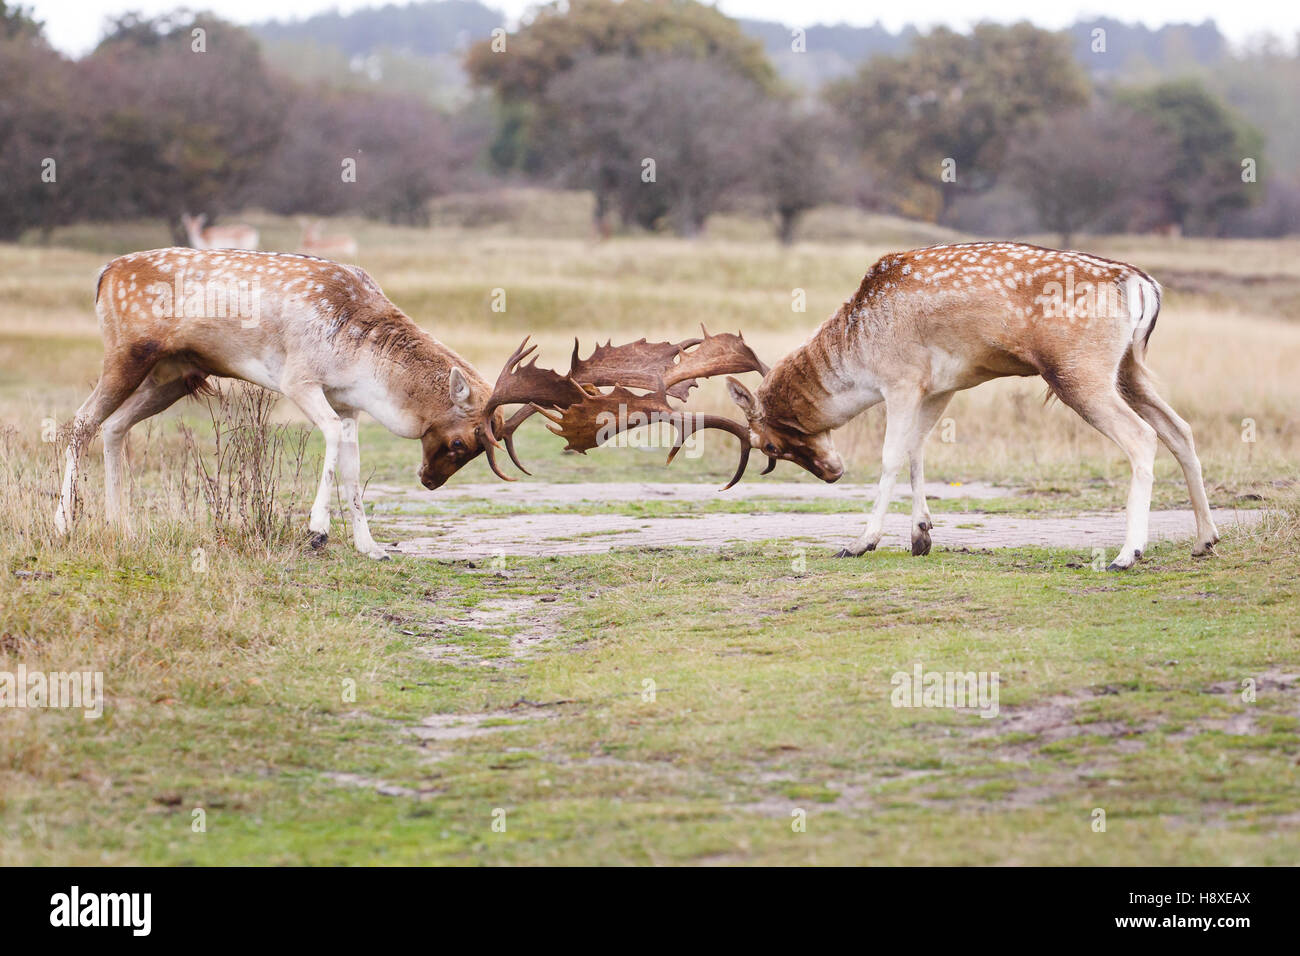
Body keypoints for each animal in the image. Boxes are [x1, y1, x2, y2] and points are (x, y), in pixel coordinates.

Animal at [53, 248, 583, 559]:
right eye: (459, 443)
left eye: (473, 449)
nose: (429, 481)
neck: (357, 360)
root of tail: (102, 274)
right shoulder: (299, 378)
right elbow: (328, 436)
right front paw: (317, 531)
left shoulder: (346, 404)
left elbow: (352, 461)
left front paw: (372, 548)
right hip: (127, 351)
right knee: (80, 421)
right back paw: (64, 524)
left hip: (177, 374)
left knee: (114, 426)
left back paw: (122, 527)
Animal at [547, 242, 1219, 571]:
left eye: (767, 446)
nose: (831, 471)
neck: (860, 352)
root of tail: (1141, 284)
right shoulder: (941, 385)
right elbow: (920, 453)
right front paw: (921, 537)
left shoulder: (901, 379)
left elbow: (894, 458)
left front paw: (861, 542)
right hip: (1131, 367)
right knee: (1182, 429)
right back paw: (1204, 541)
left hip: (1080, 371)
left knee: (1142, 439)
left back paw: (1127, 555)